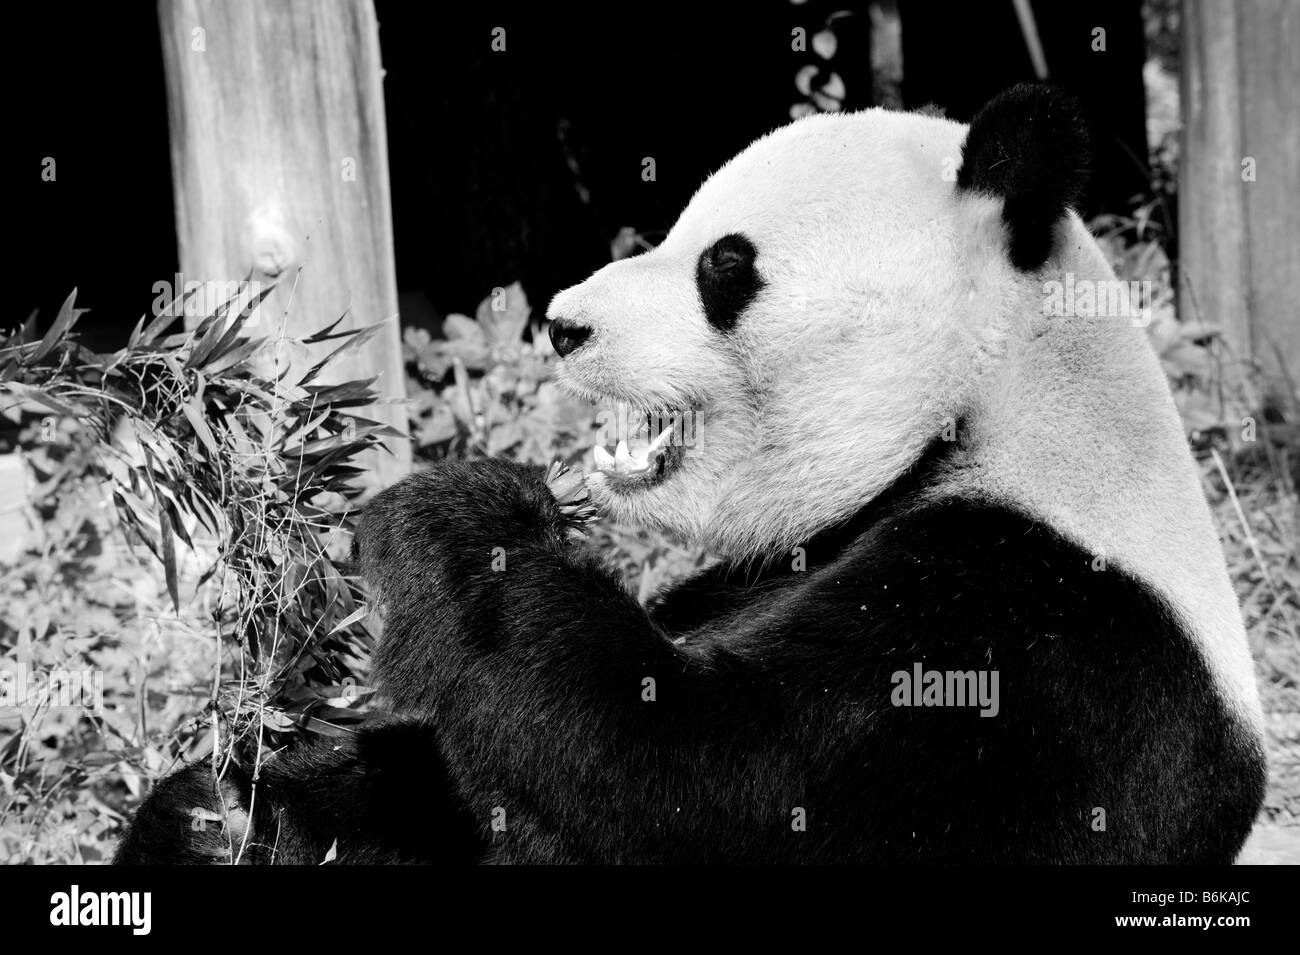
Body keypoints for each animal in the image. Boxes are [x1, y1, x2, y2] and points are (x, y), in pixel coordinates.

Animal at [115, 84, 1266, 865]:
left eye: (726, 264)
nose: (564, 322)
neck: (999, 403)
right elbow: (444, 778)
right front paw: (229, 810)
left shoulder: (1036, 641)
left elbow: (711, 783)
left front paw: (460, 513)